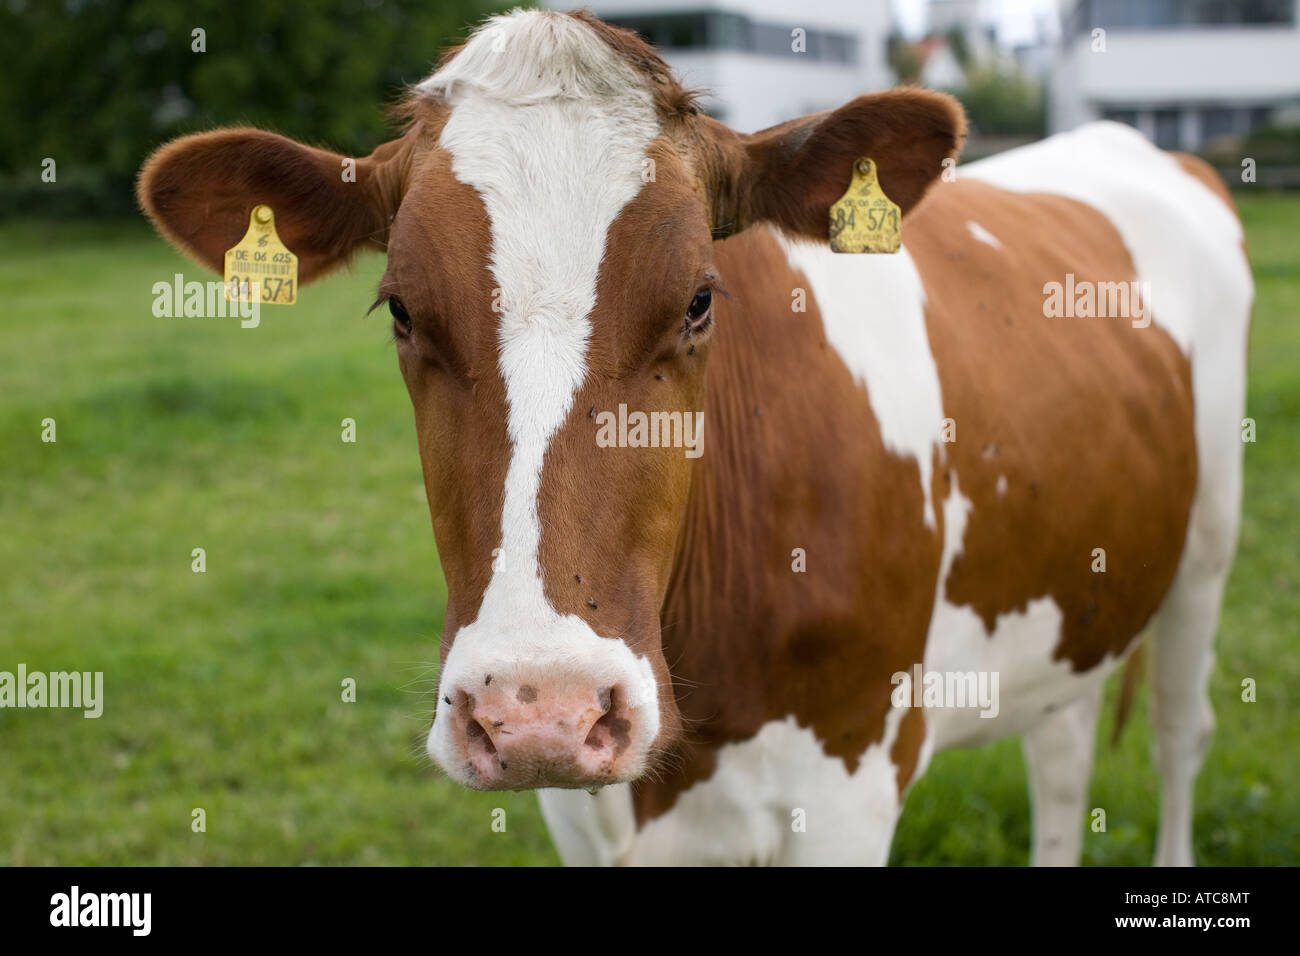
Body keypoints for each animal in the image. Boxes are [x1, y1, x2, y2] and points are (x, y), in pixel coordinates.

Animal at [137, 9, 1252, 865]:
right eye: (403, 310)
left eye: (700, 298)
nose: (541, 710)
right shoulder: (579, 815)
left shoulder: (849, 792)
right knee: (1062, 756)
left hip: (1205, 550)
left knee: (1179, 734)